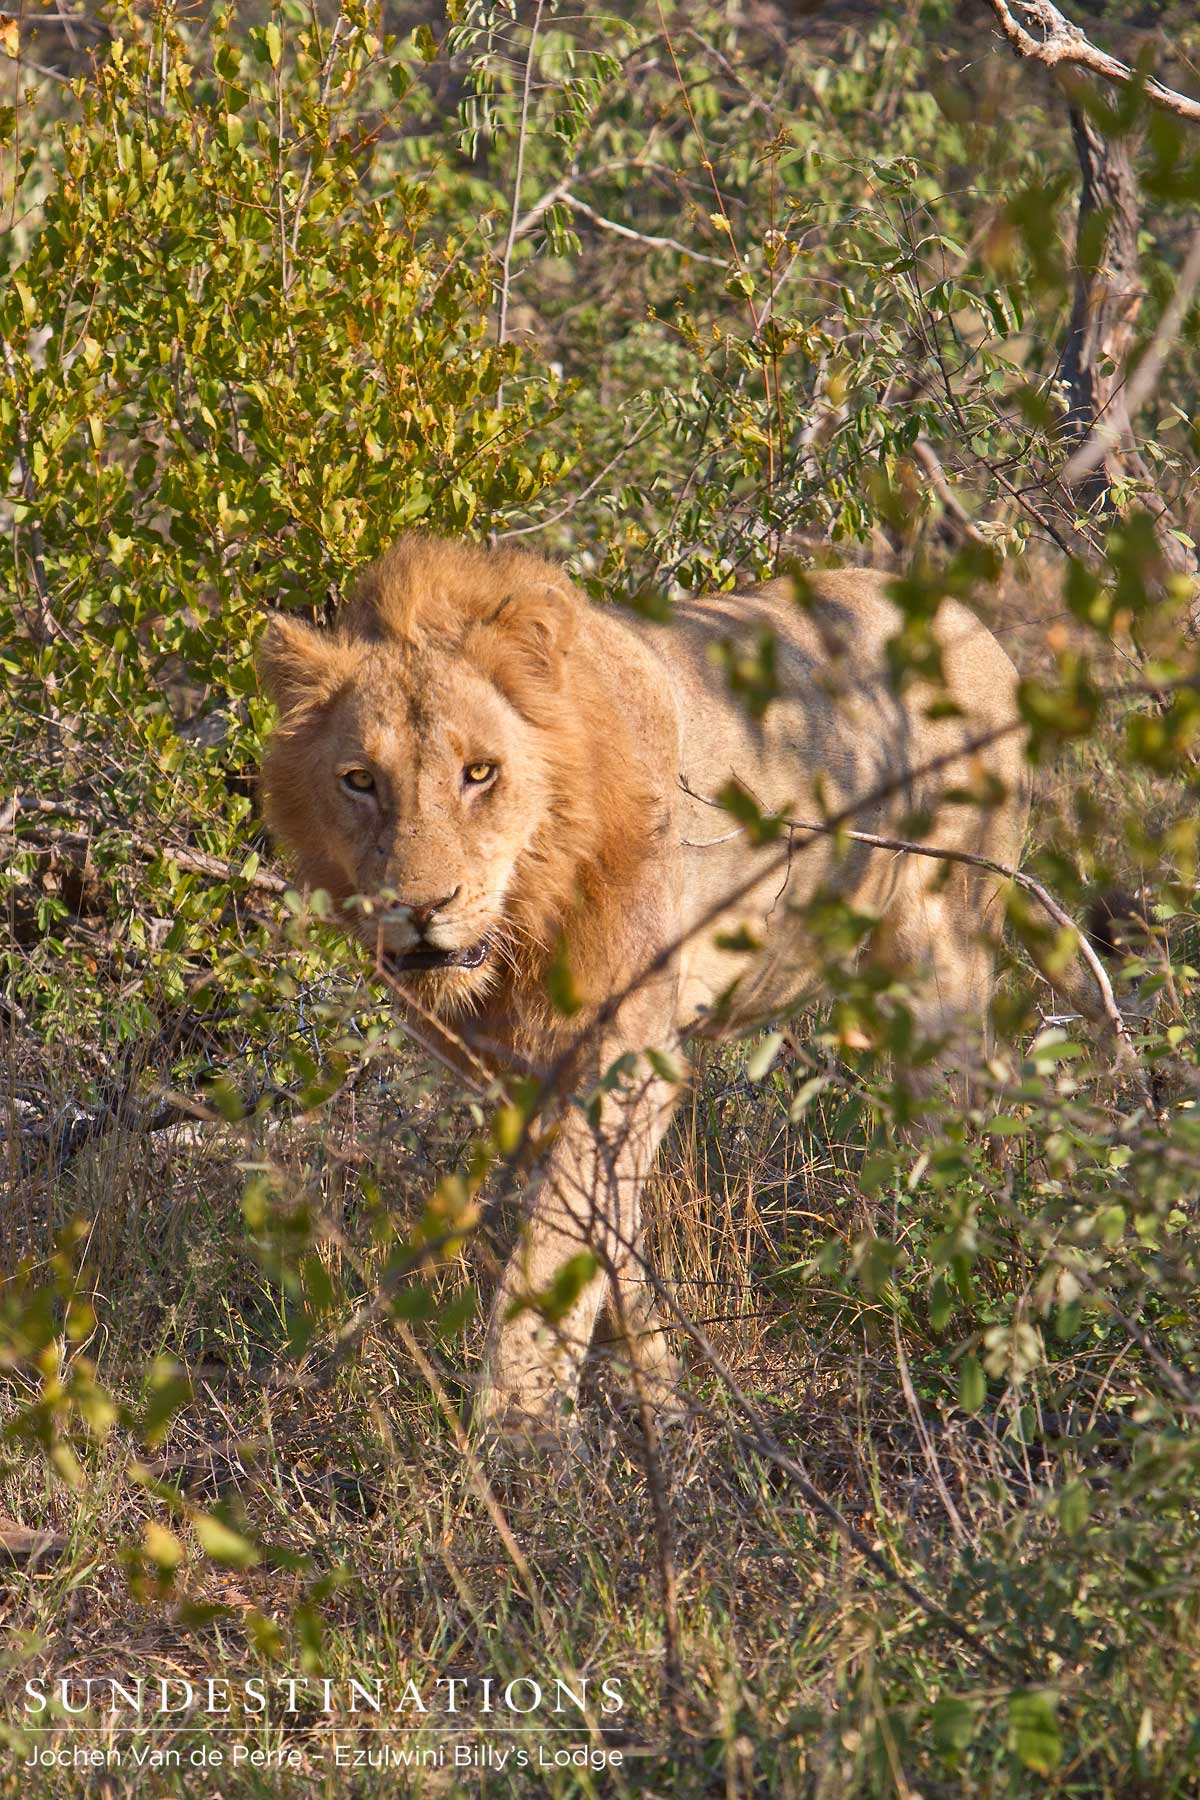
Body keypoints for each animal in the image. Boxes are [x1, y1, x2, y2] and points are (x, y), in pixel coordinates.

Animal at [258, 532, 1033, 1439]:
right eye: (358, 780)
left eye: (480, 773)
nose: (420, 908)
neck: (528, 915)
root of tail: (963, 614)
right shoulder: (523, 1080)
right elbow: (606, 1241)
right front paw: (659, 1403)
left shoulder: (627, 1055)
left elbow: (552, 1249)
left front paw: (517, 1433)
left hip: (942, 949)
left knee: (954, 1119)